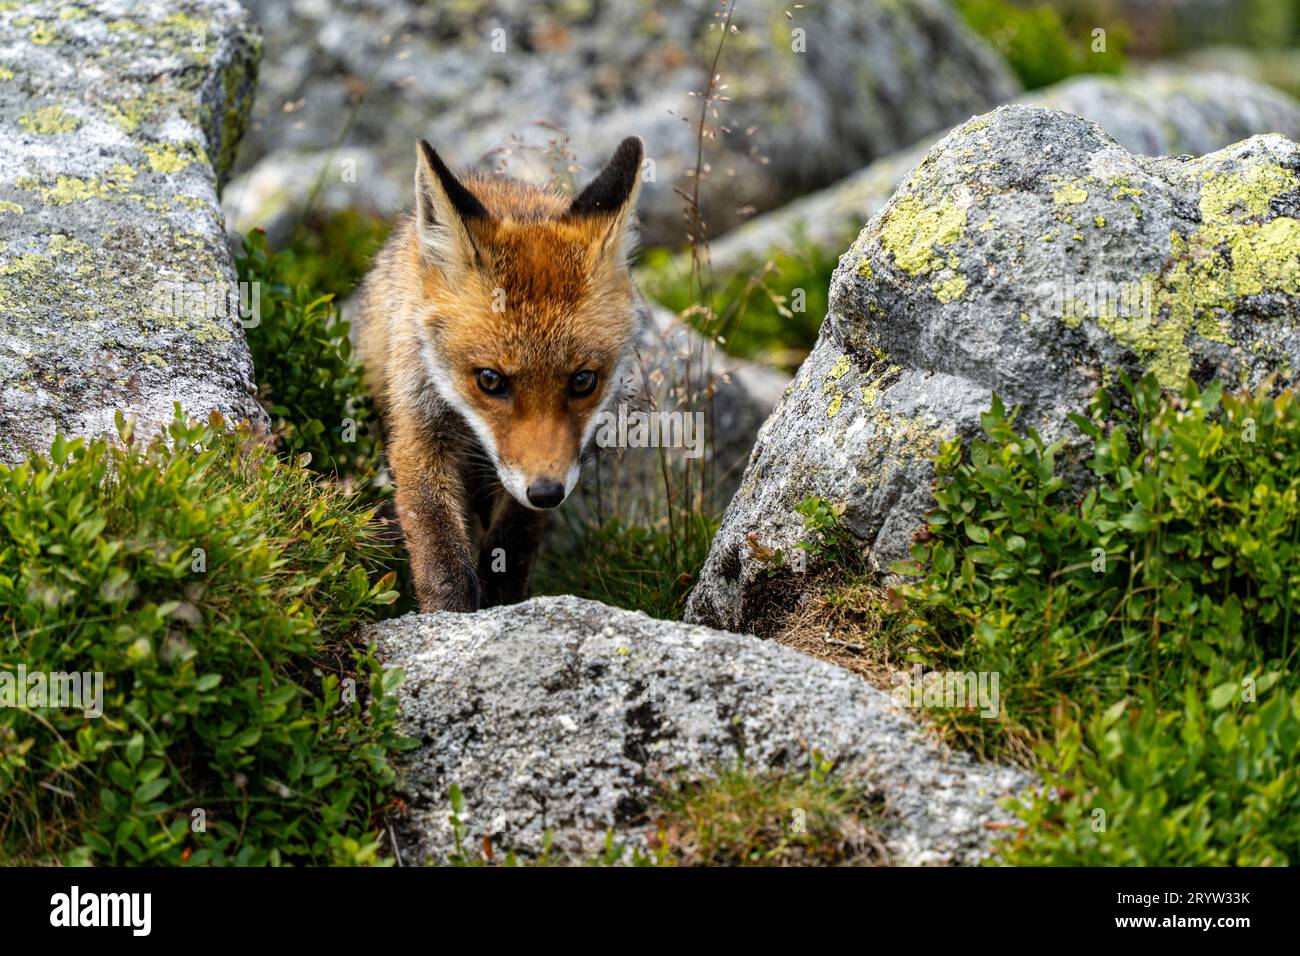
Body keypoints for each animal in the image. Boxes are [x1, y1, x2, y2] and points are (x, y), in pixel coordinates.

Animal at [355, 136, 644, 612]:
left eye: (583, 381)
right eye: (490, 380)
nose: (546, 492)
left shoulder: (556, 462)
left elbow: (514, 539)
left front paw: (503, 598)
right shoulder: (419, 425)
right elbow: (438, 547)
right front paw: (449, 614)